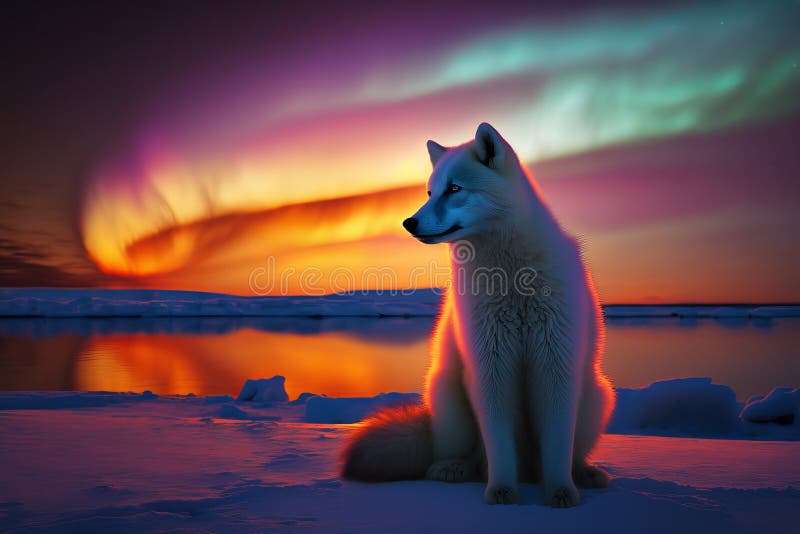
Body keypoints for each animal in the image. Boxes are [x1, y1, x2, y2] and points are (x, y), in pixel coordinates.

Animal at [341, 123, 615, 507]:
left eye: (455, 188)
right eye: (430, 192)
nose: (409, 222)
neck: (511, 280)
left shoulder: (555, 364)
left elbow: (558, 449)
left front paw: (561, 492)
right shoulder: (491, 366)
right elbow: (498, 447)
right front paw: (501, 491)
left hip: (596, 396)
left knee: (570, 454)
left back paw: (585, 473)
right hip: (447, 399)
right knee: (466, 456)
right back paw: (452, 467)